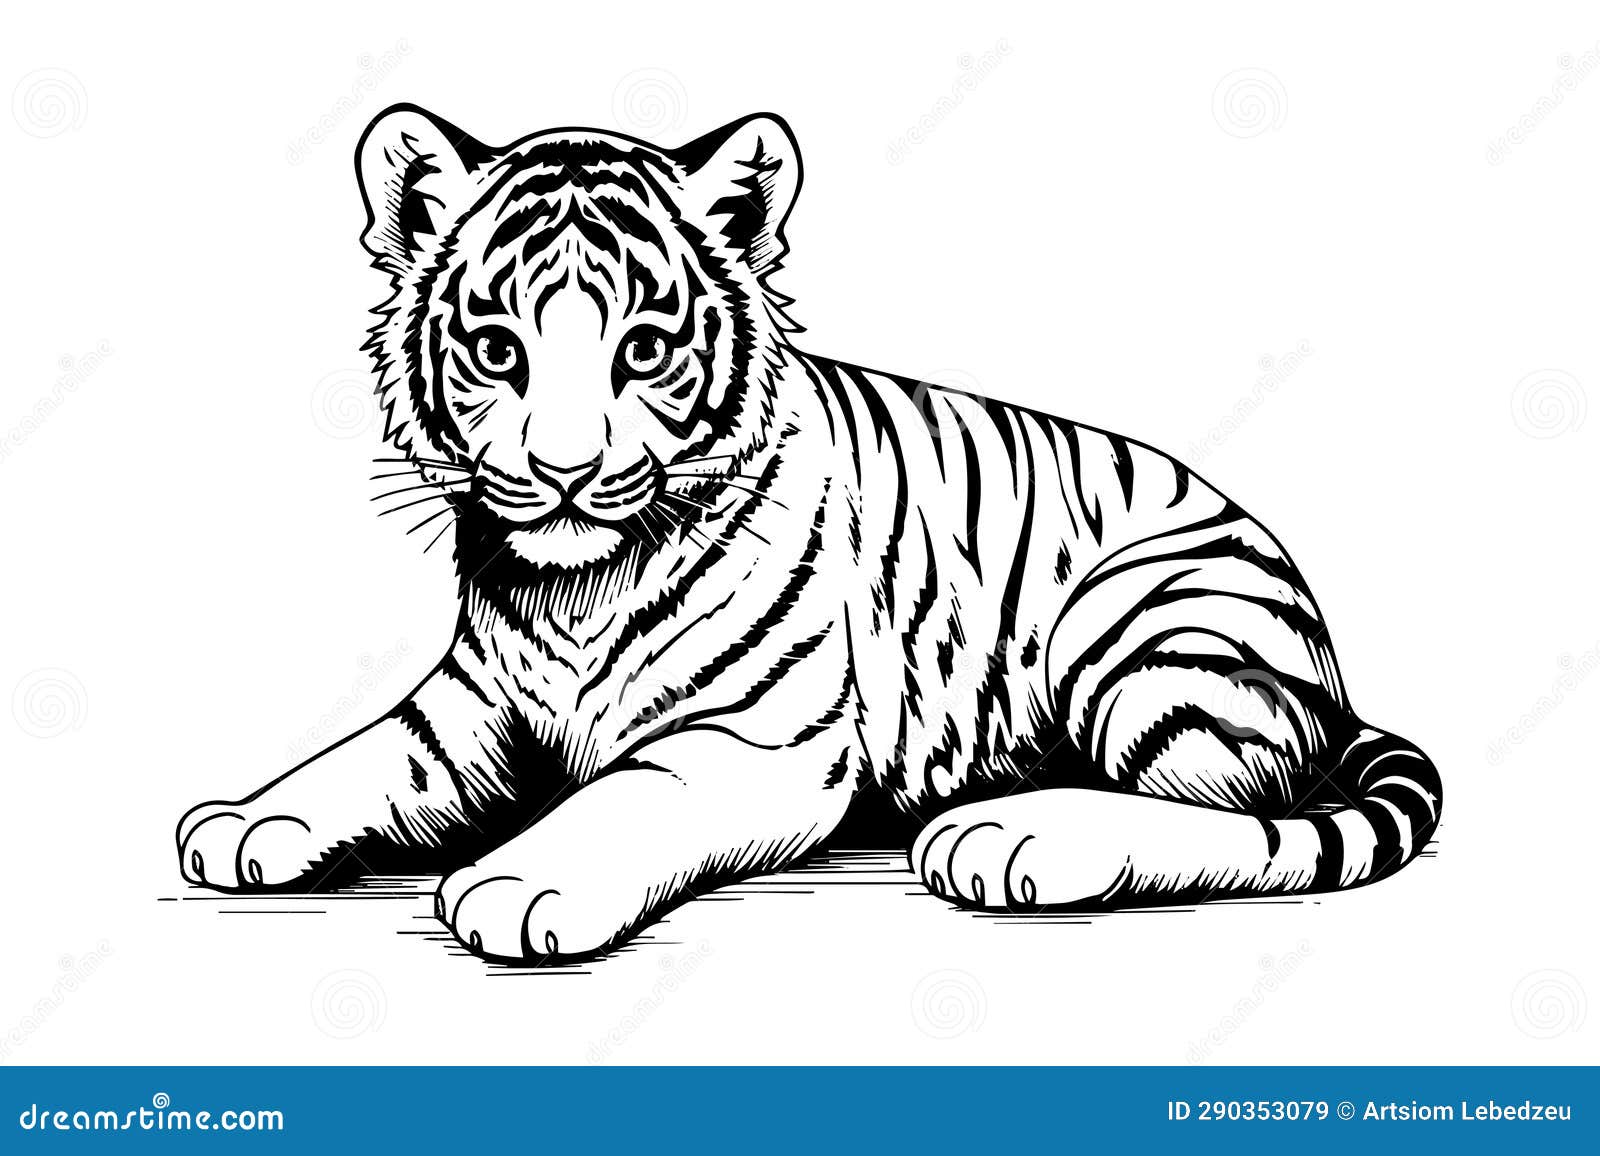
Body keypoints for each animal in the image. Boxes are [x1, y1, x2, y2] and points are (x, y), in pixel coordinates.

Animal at [176, 104, 1442, 961]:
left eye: (643, 348)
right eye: (498, 350)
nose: (565, 474)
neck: (572, 591)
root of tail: (1326, 668)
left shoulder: (756, 740)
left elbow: (628, 792)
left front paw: (521, 881)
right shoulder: (471, 711)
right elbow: (360, 757)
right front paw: (247, 818)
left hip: (1140, 632)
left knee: (1236, 816)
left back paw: (1011, 838)